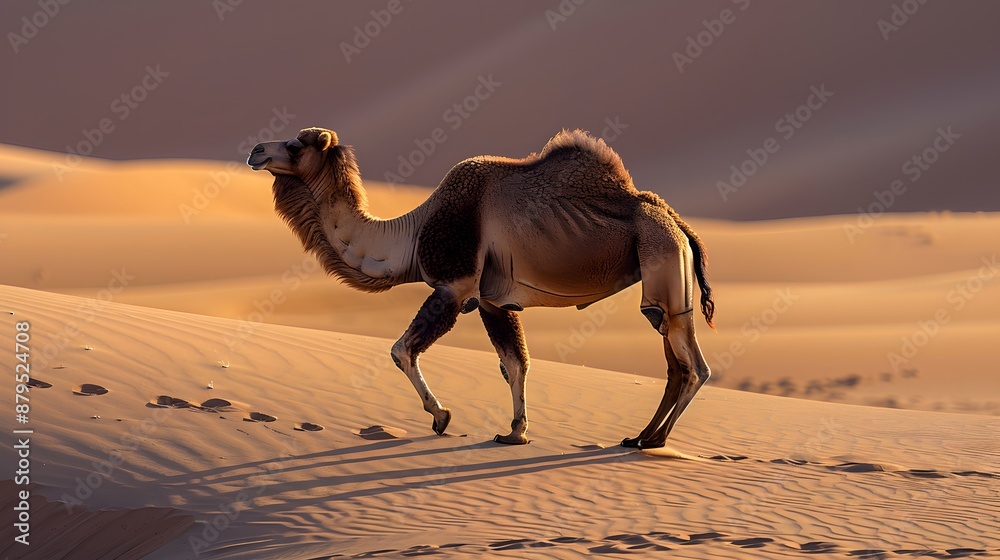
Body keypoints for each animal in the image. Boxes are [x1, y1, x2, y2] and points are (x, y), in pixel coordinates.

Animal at [247, 127, 715, 449]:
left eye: (296, 144)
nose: (255, 150)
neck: (411, 234)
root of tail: (680, 225)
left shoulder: (454, 286)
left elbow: (401, 350)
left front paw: (441, 417)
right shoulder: (493, 300)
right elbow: (515, 364)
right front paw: (515, 434)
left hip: (662, 261)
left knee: (693, 364)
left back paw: (654, 440)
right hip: (662, 270)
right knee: (674, 365)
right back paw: (639, 438)